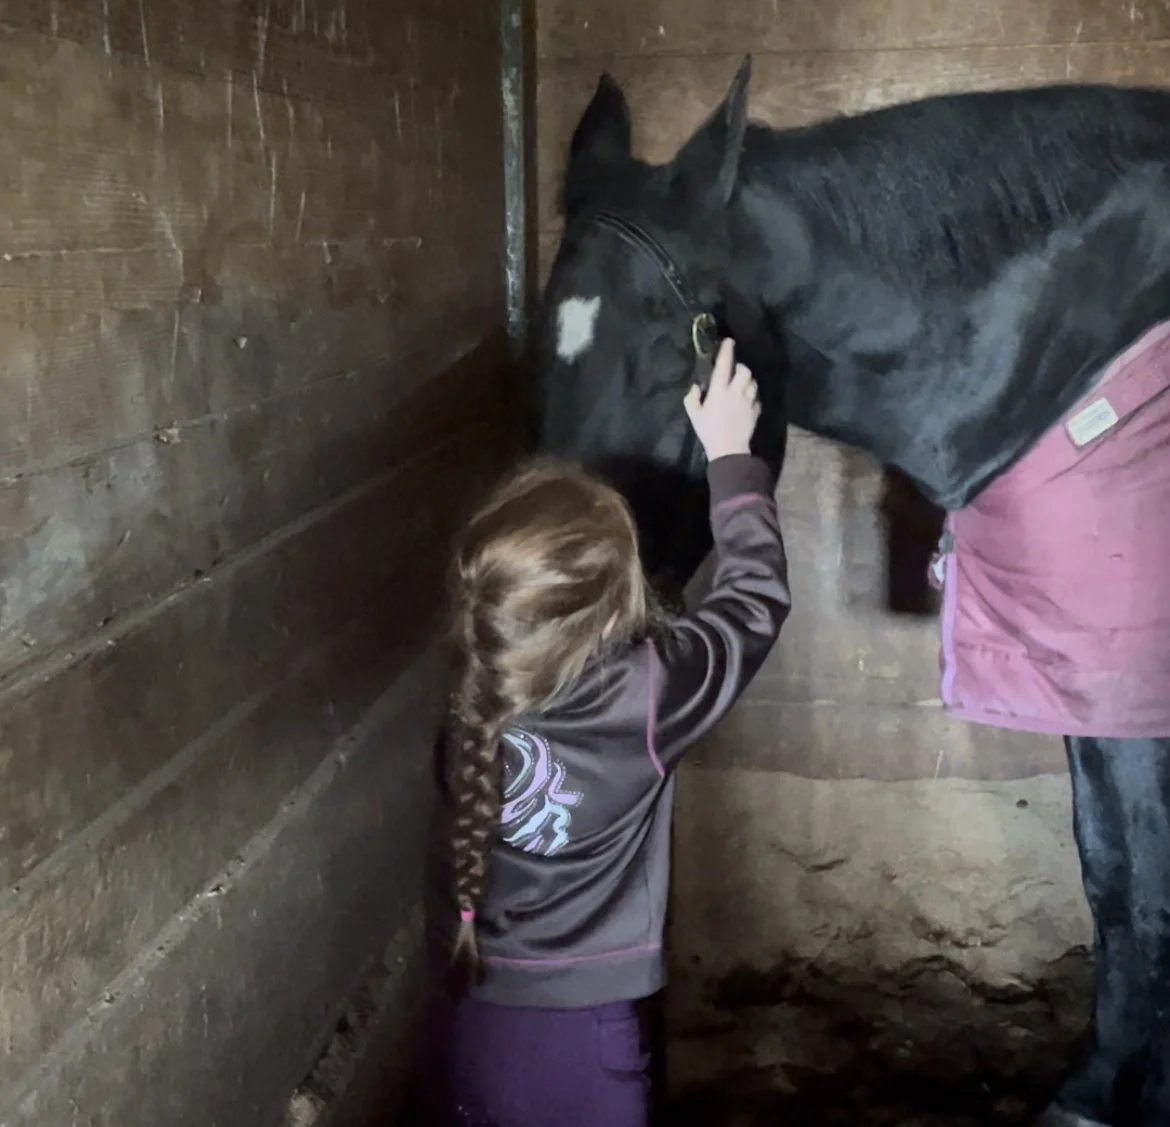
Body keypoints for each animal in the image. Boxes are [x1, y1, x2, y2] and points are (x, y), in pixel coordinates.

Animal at [529, 57, 1170, 1127]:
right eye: (537, 343)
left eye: (670, 353)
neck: (1091, 359)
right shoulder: (1086, 672)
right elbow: (1111, 865)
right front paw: (1092, 1087)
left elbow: (1149, 883)